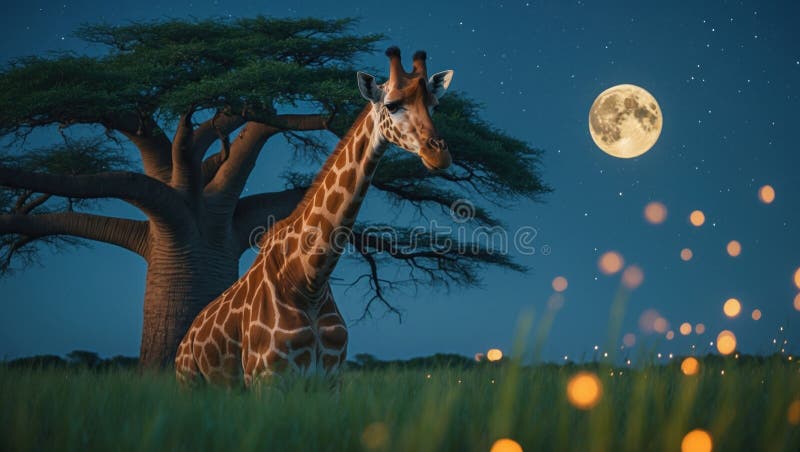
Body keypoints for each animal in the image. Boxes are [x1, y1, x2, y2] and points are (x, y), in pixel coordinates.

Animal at [174, 47, 455, 387]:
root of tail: (185, 339)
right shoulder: (266, 377)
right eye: (391, 105)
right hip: (190, 382)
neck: (308, 280)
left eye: (435, 105)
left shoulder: (330, 379)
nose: (439, 154)